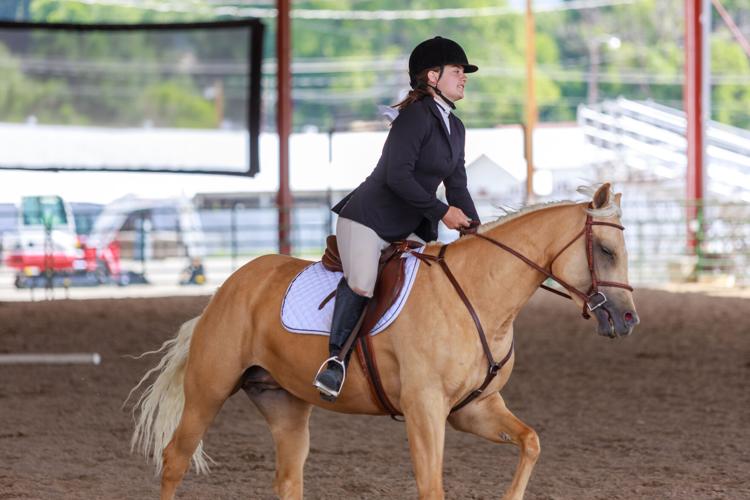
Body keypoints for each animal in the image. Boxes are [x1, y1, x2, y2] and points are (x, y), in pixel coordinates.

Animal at [129, 182, 639, 500]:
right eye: (605, 251)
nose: (629, 319)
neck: (479, 294)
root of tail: (228, 287)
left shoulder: (474, 408)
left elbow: (530, 442)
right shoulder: (424, 408)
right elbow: (431, 488)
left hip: (284, 403)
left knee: (288, 479)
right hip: (209, 390)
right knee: (174, 460)